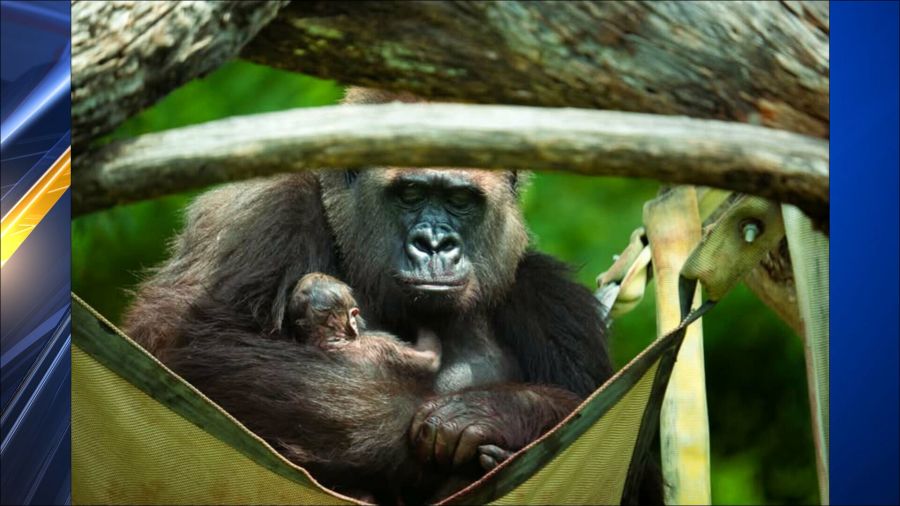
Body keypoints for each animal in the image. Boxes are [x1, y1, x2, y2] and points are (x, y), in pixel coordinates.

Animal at [124, 87, 662, 504]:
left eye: (460, 199)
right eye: (410, 193)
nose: (434, 244)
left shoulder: (551, 299)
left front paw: (504, 413)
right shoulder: (262, 212)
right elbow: (195, 347)